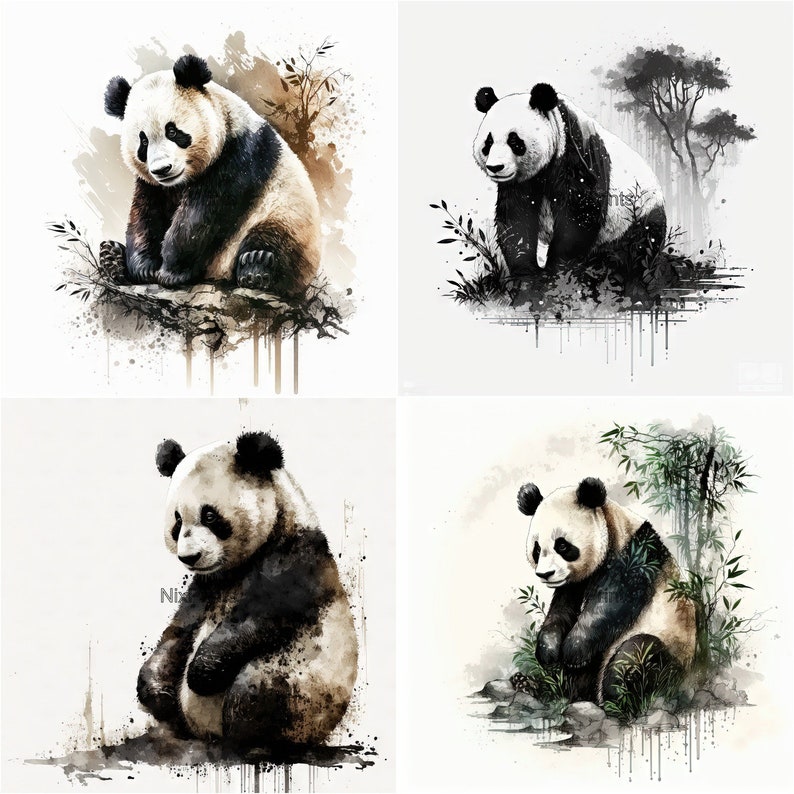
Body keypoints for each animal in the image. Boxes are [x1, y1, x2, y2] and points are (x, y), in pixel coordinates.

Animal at [103, 55, 321, 296]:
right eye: (143, 142)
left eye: (172, 131)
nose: (162, 169)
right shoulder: (153, 186)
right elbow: (144, 215)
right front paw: (143, 268)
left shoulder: (238, 155)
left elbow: (202, 216)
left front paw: (170, 271)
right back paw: (111, 257)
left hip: (288, 217)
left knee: (275, 240)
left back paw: (256, 266)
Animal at [137, 431, 358, 746]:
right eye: (177, 521)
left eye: (210, 516)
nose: (189, 557)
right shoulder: (206, 585)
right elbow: (180, 630)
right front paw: (157, 691)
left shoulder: (296, 560)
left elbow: (257, 618)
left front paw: (200, 673)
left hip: (300, 684)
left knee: (256, 693)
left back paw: (251, 738)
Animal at [473, 83, 666, 293]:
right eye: (488, 143)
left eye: (514, 141)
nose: (495, 167)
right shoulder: (521, 181)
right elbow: (516, 217)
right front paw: (526, 275)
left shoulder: (578, 155)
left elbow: (579, 214)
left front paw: (555, 274)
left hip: (639, 213)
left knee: (640, 249)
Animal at [516, 477, 695, 709]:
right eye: (537, 549)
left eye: (562, 545)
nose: (545, 574)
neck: (615, 530)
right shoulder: (574, 583)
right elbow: (562, 611)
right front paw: (549, 651)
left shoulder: (638, 557)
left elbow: (610, 605)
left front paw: (573, 651)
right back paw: (534, 686)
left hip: (671, 645)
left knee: (636, 655)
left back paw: (620, 701)